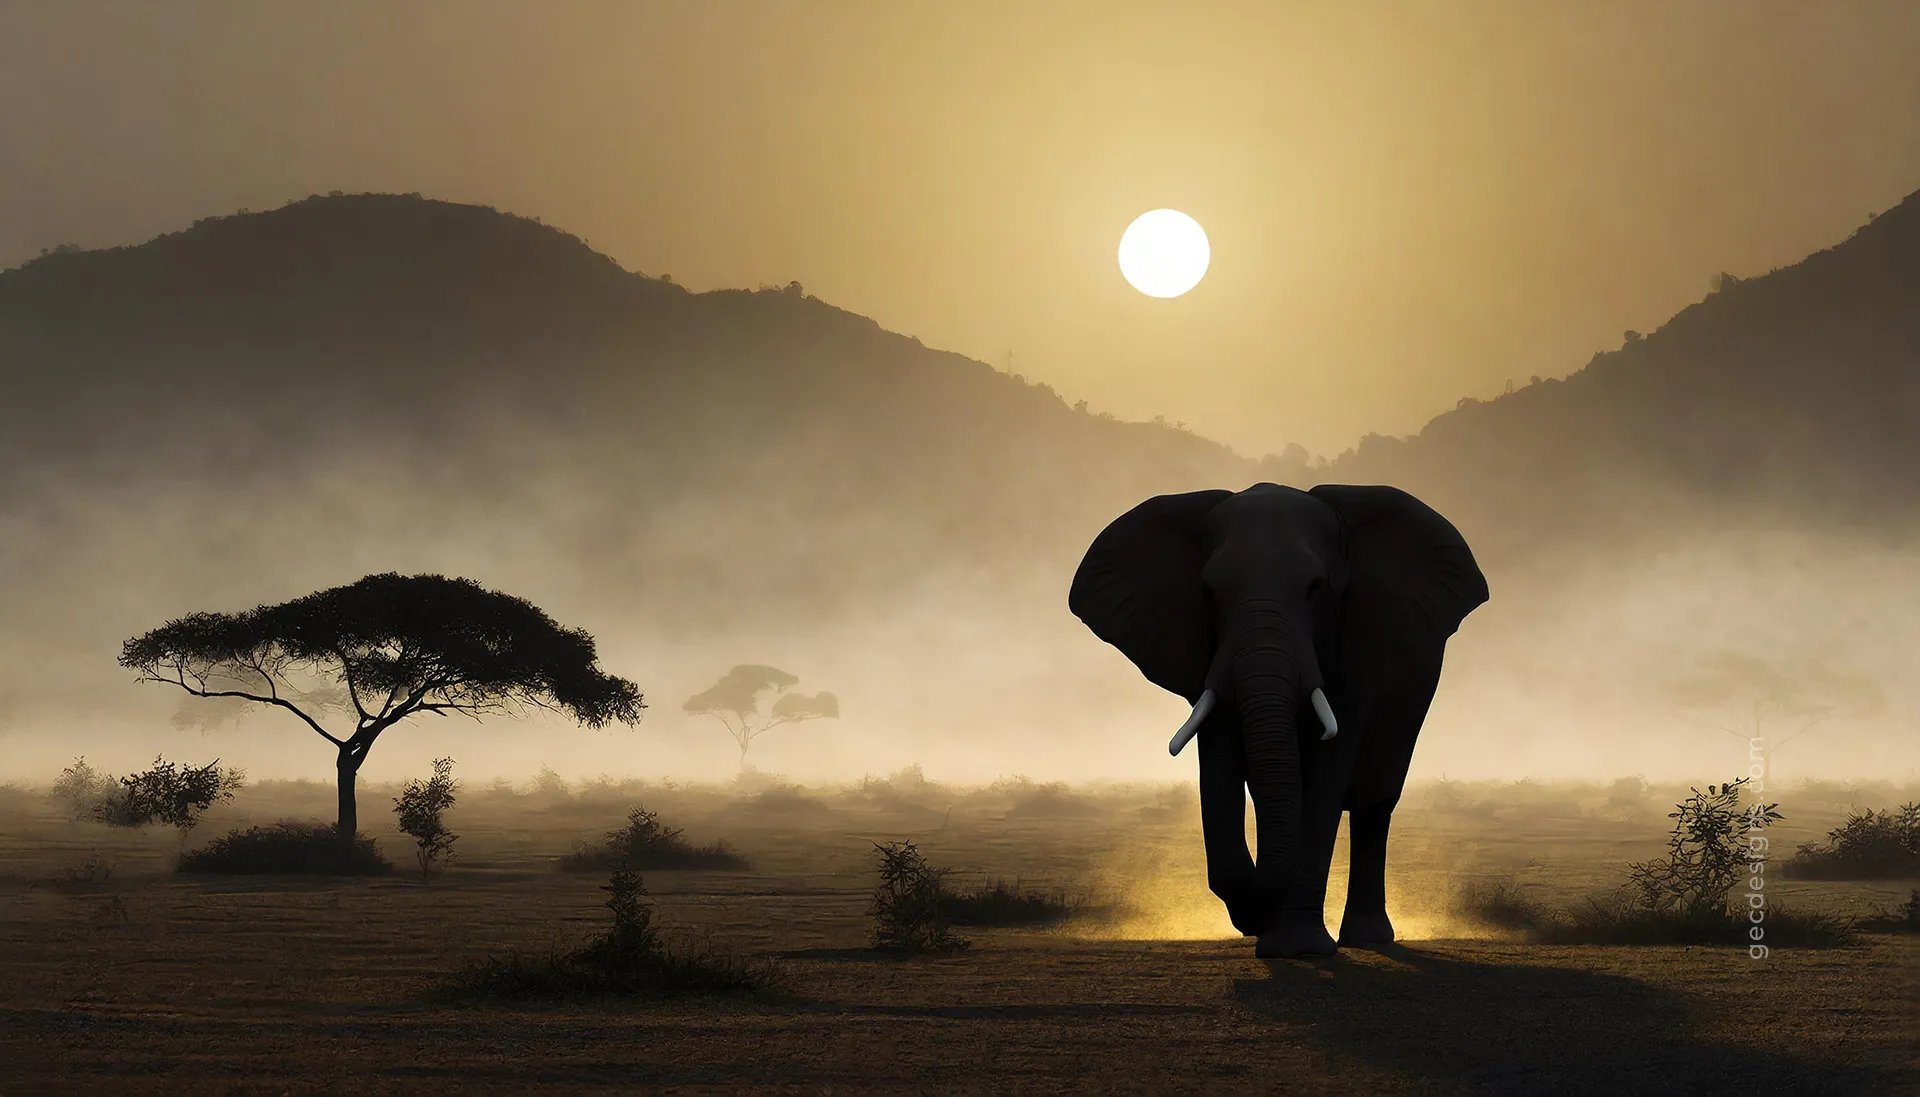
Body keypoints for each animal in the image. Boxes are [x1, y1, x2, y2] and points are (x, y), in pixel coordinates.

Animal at [1069, 482, 1487, 958]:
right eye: (1209, 593)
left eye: (1315, 589)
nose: (1251, 923)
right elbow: (1220, 759)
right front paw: (1271, 933)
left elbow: (1325, 776)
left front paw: (1295, 948)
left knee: (1375, 803)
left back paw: (1367, 939)